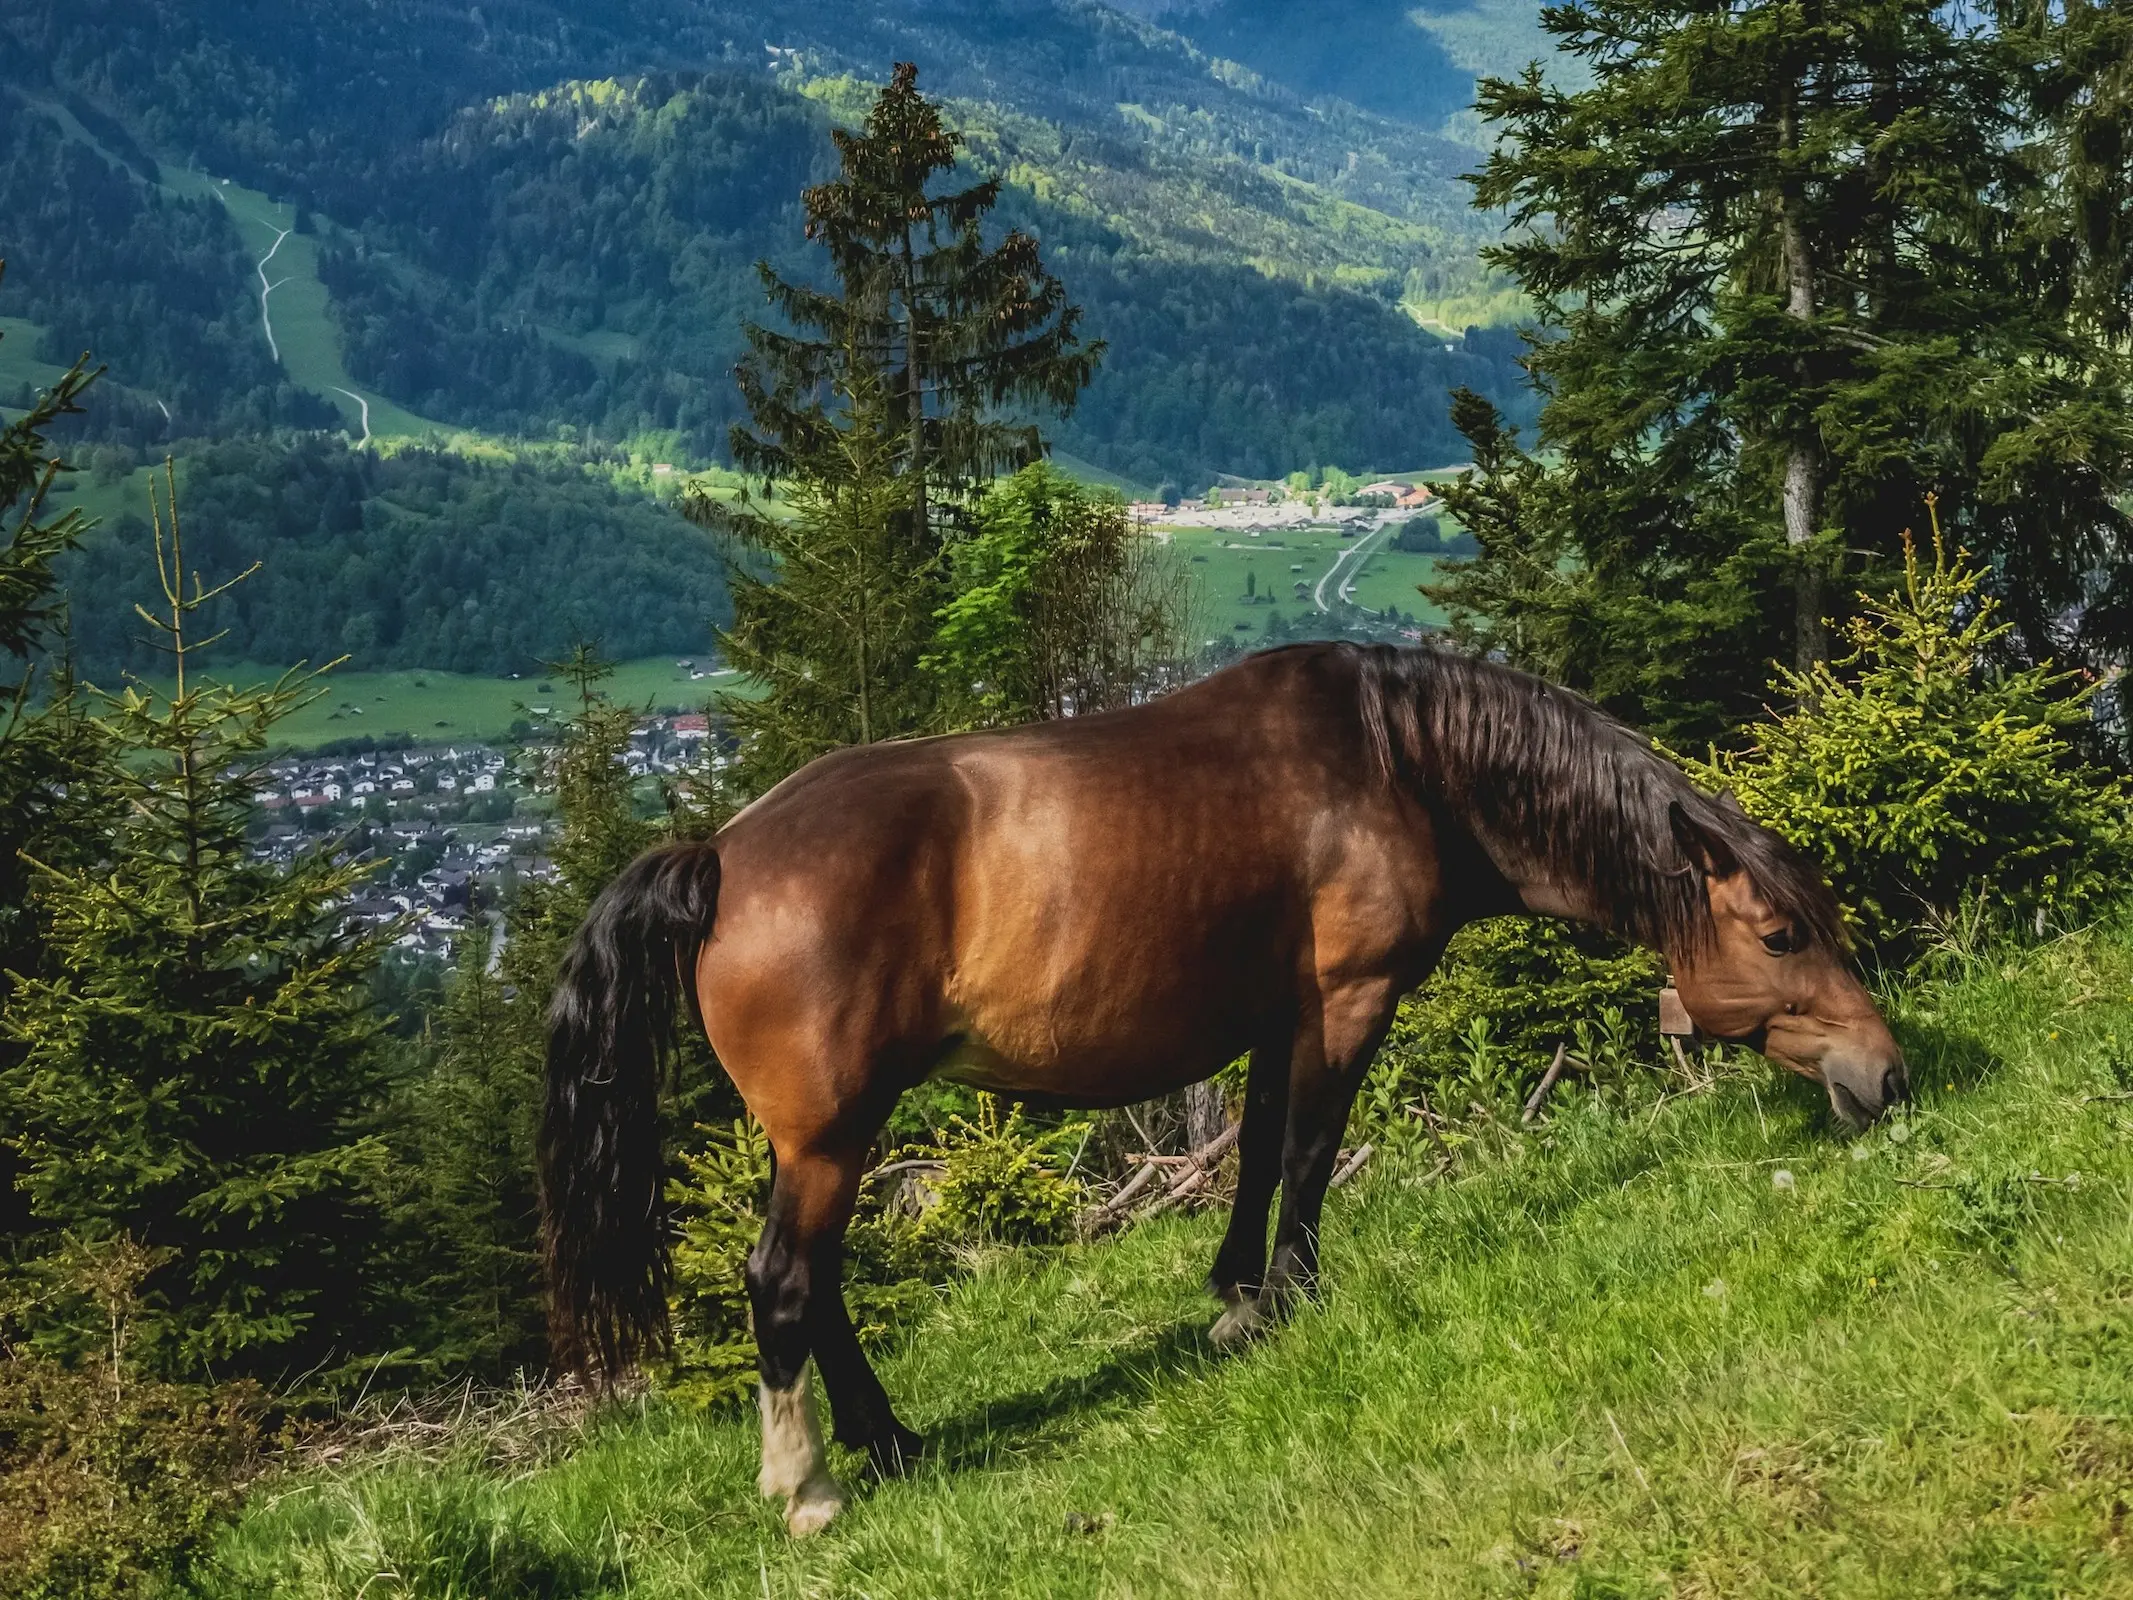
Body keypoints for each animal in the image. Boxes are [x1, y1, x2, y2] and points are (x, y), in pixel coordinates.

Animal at [539, 641, 1904, 1535]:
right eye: (1781, 934)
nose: (1886, 1075)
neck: (1400, 759)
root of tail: (718, 854)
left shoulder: (1271, 1015)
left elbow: (1251, 1154)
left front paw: (1239, 1298)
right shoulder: (1346, 998)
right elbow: (1308, 1151)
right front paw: (1292, 1297)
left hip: (826, 1135)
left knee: (817, 1285)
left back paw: (895, 1443)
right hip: (830, 1132)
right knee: (783, 1280)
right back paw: (812, 1486)